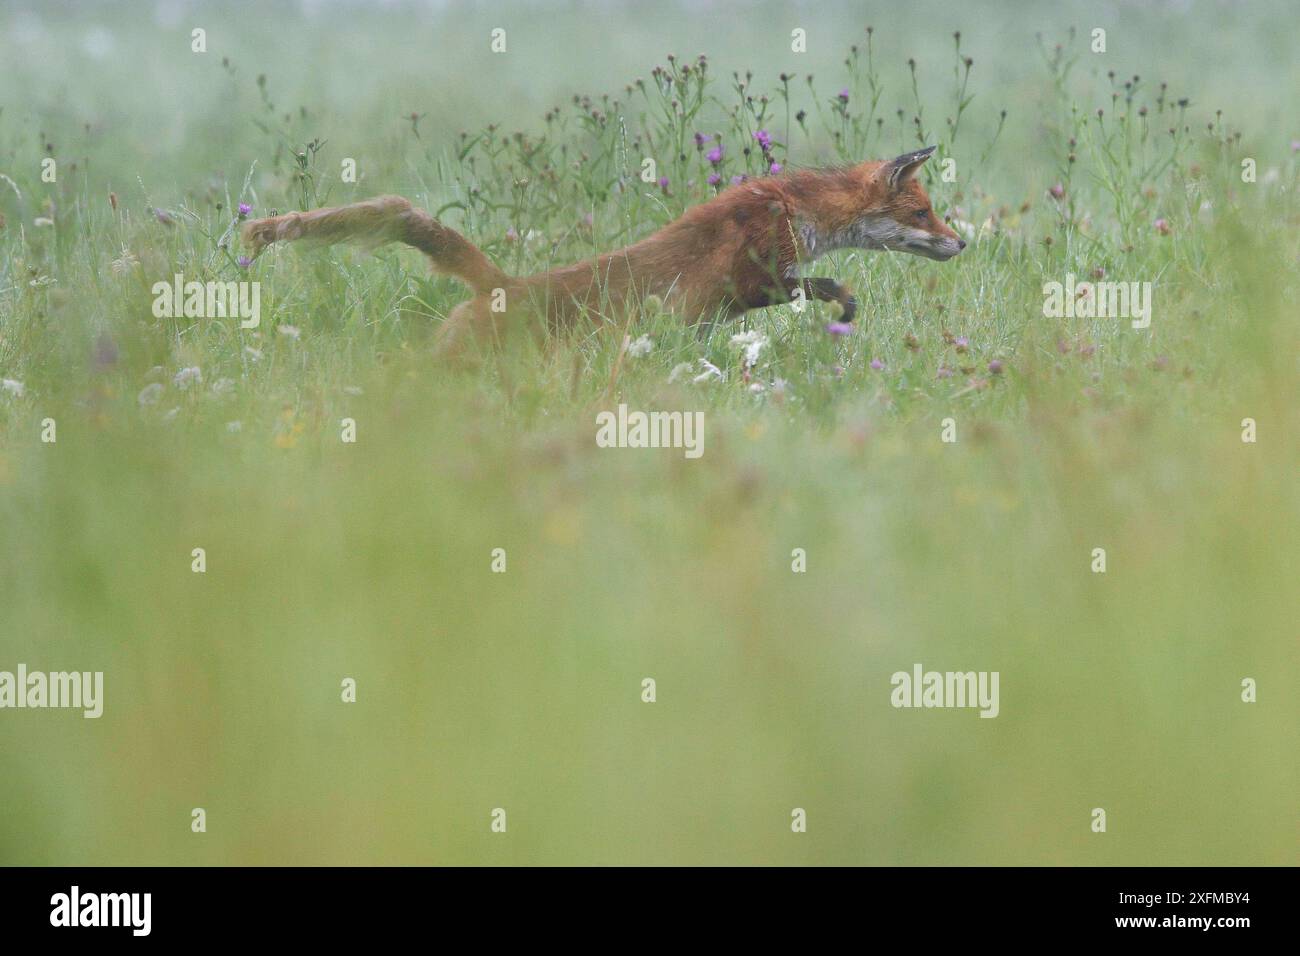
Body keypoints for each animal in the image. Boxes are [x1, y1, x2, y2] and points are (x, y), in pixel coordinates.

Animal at [241, 145, 964, 357]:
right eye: (922, 212)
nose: (964, 240)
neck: (793, 205)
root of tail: (501, 283)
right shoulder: (749, 281)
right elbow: (817, 286)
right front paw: (845, 305)